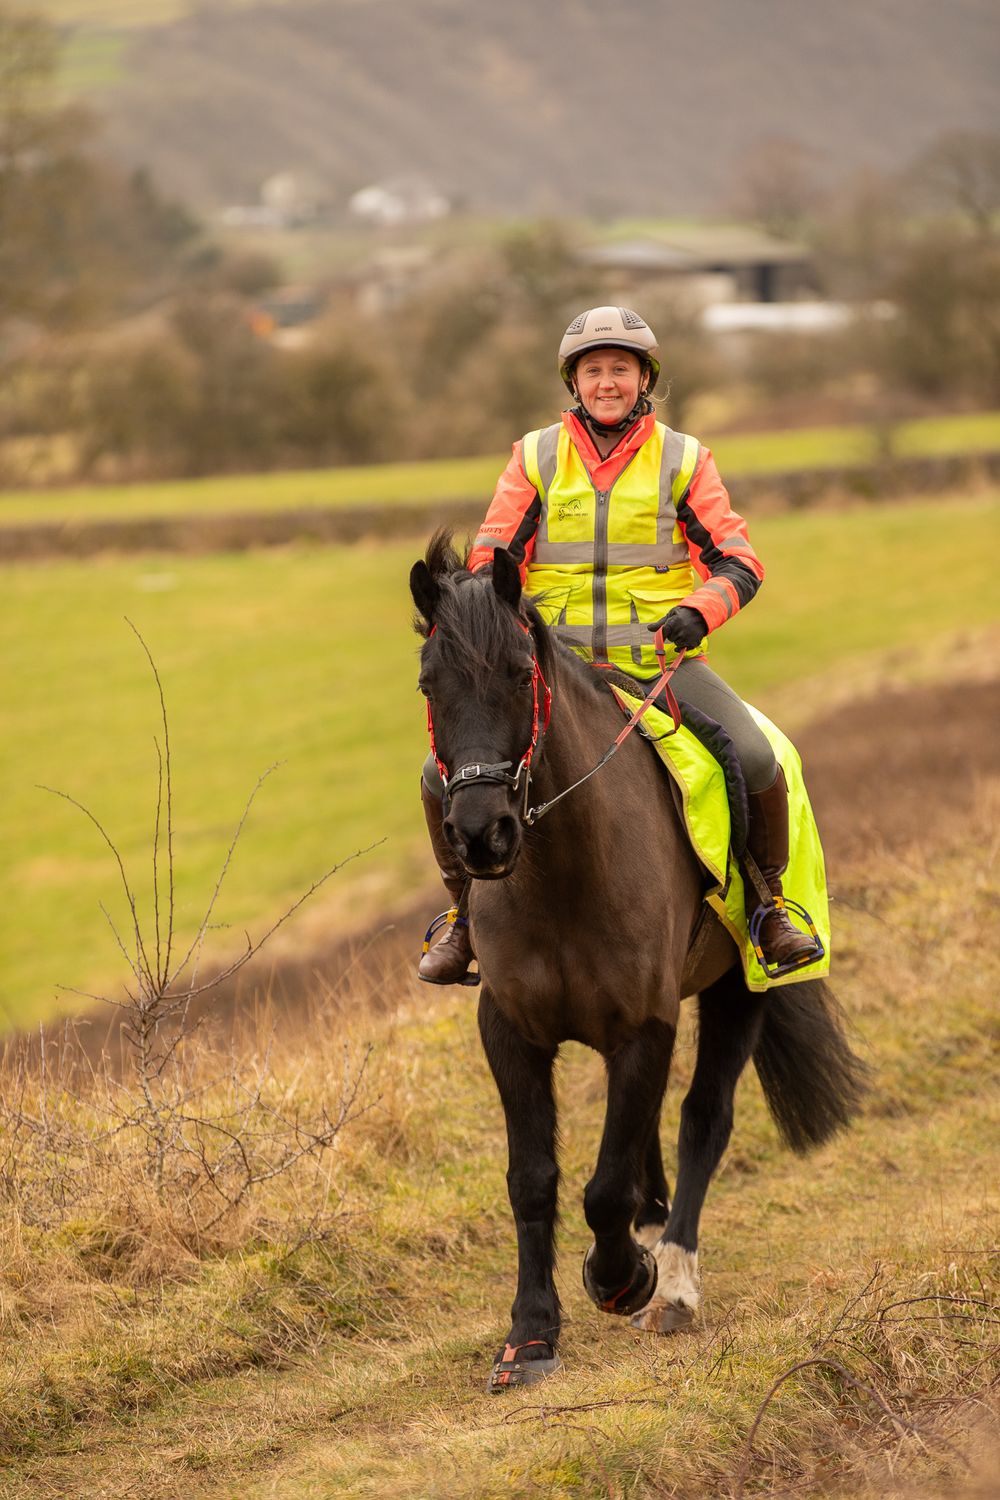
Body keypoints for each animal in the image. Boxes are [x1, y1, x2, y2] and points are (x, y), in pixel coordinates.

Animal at [410, 531, 868, 1393]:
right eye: (428, 683)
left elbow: (604, 1186)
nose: (482, 834)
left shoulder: (645, 1027)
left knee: (701, 1119)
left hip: (737, 989)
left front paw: (624, 1278)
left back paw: (674, 1280)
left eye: (519, 674)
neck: (561, 873)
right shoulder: (511, 1031)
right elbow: (534, 1180)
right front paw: (529, 1336)